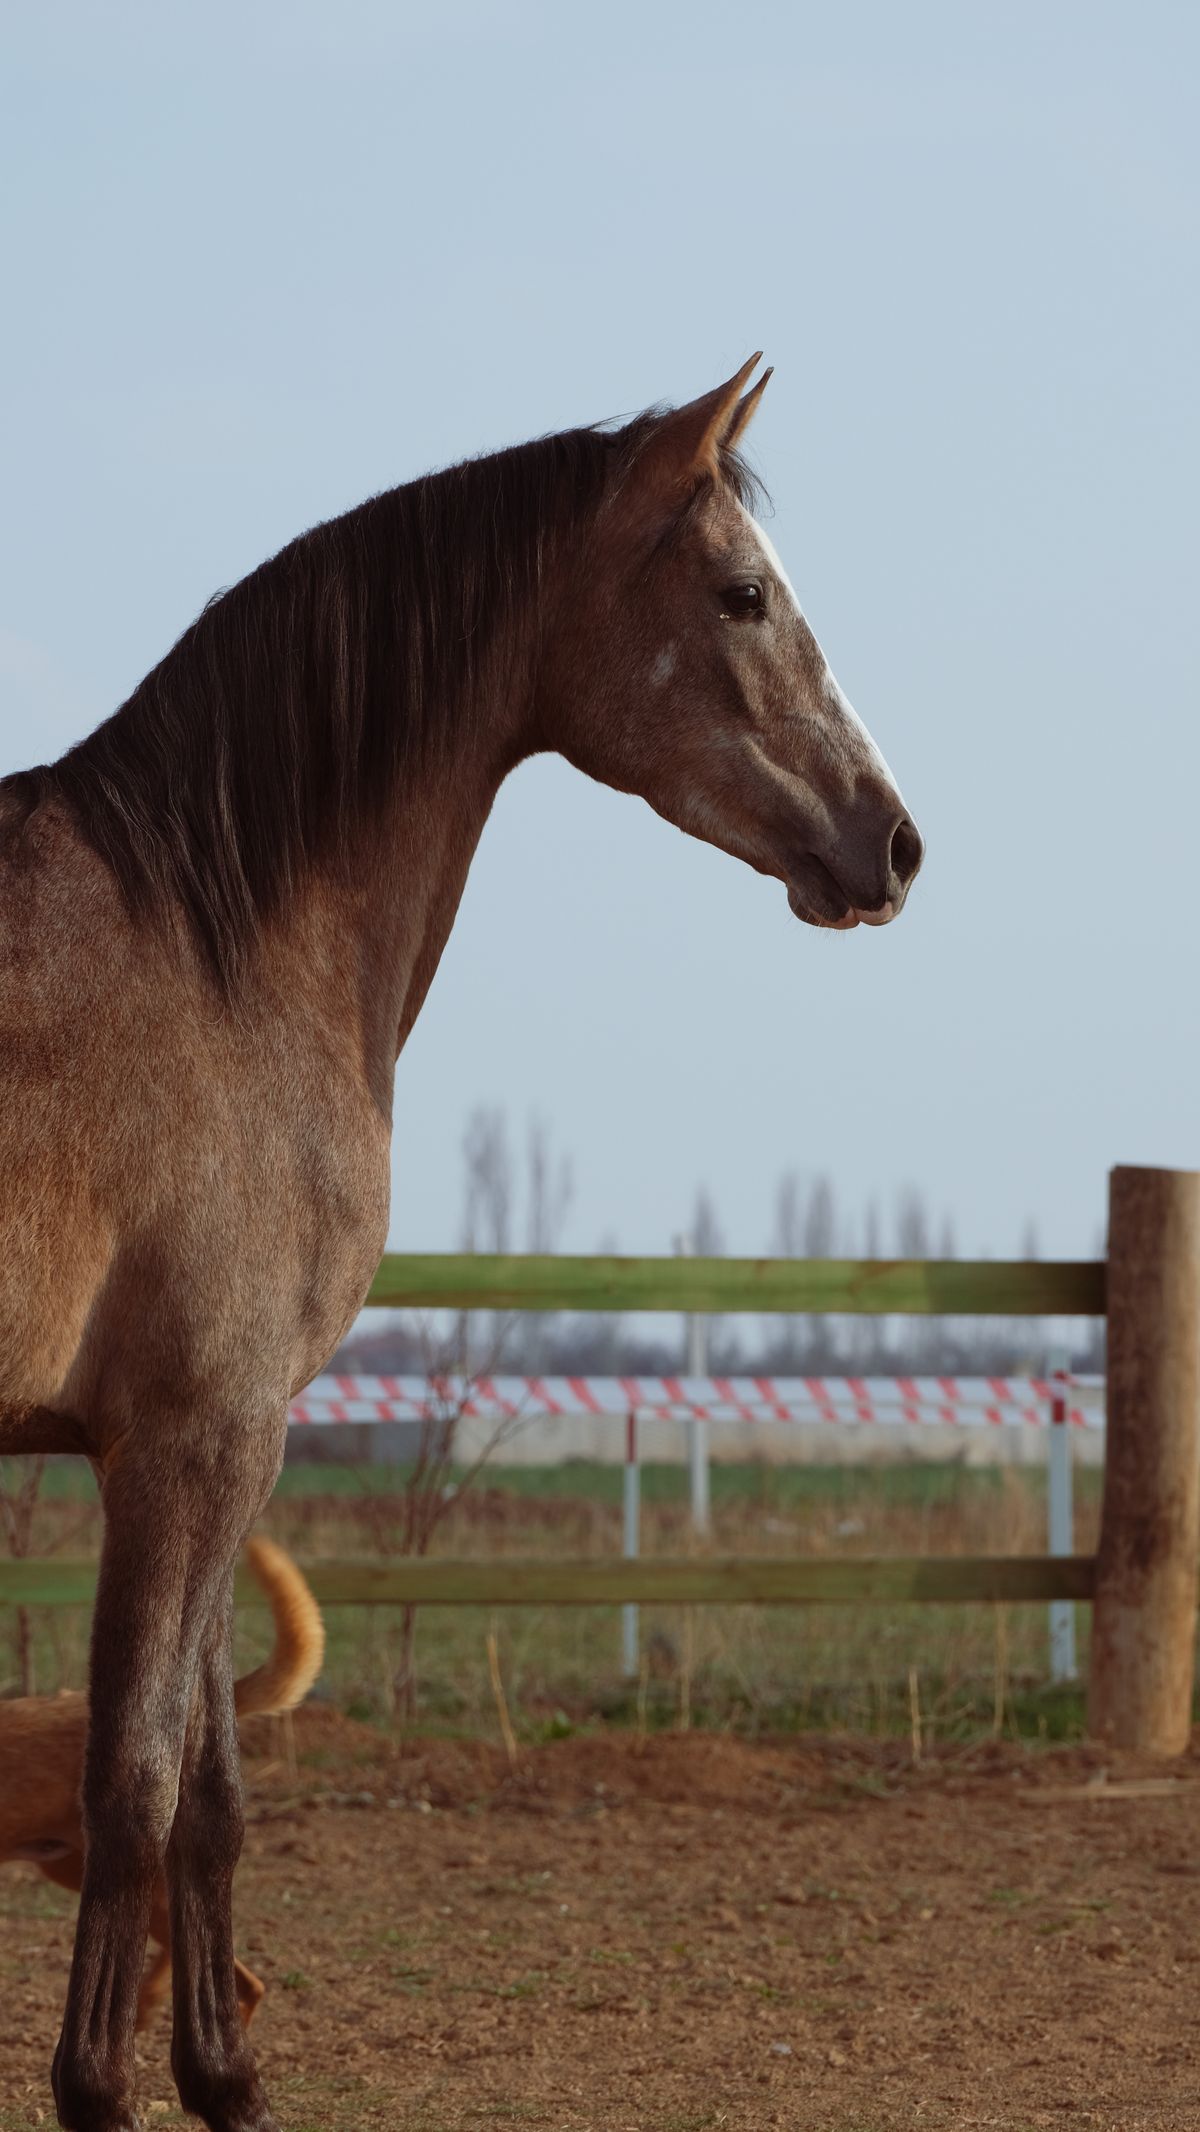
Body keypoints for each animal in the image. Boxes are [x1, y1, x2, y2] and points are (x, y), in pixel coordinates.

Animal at [0, 355, 922, 2132]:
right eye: (744, 593)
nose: (895, 841)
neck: (212, 946)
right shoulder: (192, 1444)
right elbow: (134, 1779)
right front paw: (102, 2089)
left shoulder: (224, 1449)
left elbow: (214, 1787)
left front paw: (225, 2075)